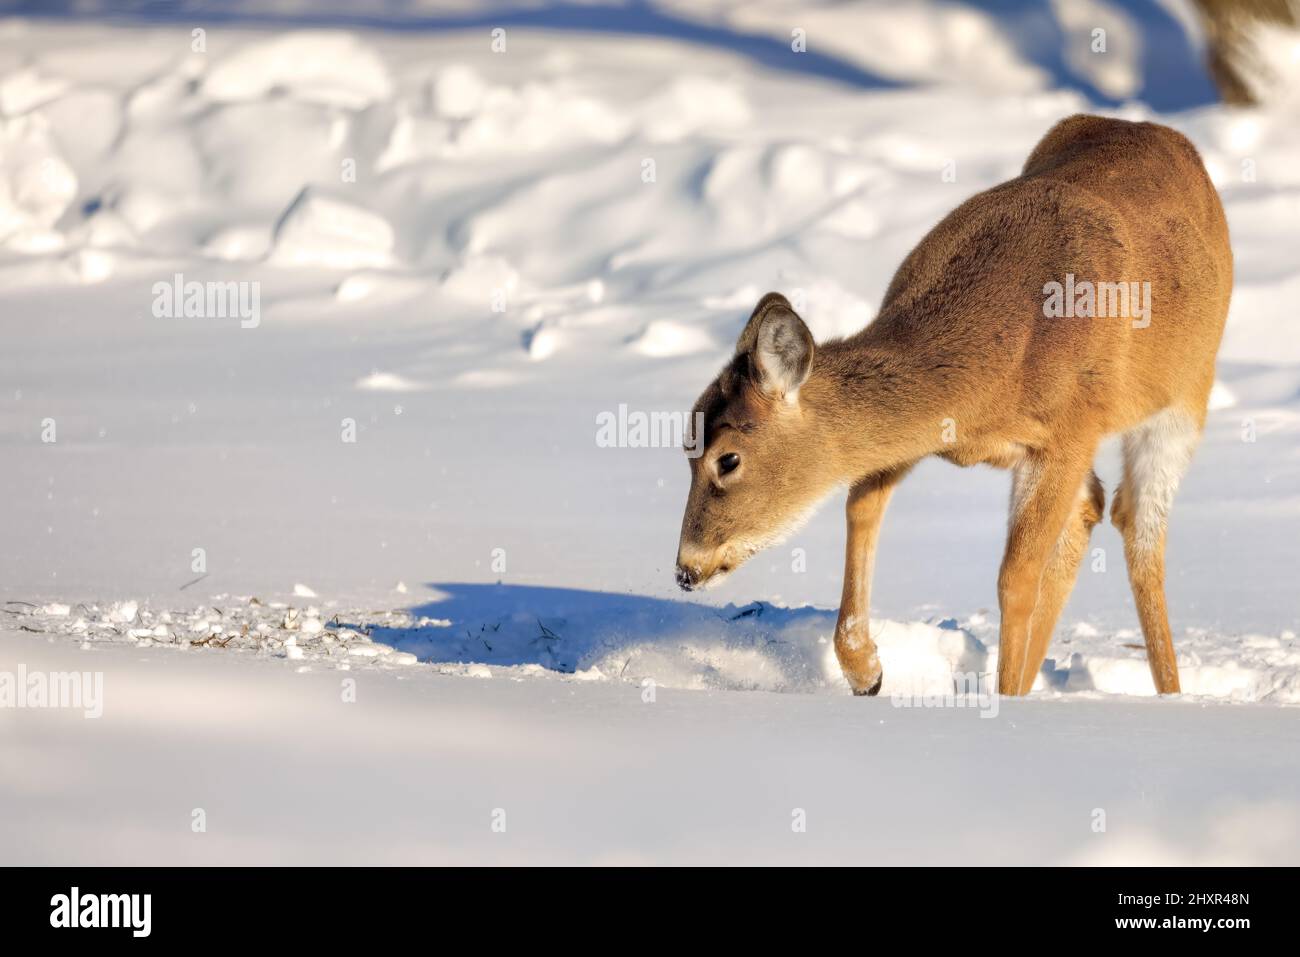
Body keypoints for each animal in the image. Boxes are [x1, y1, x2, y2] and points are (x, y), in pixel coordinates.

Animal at [674, 115, 1232, 697]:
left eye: (728, 459)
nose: (685, 570)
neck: (995, 367)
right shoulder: (935, 438)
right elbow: (862, 506)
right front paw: (867, 670)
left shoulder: (1070, 430)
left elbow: (1016, 577)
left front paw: (1004, 700)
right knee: (1092, 507)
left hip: (1186, 396)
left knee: (1139, 528)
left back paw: (1169, 692)